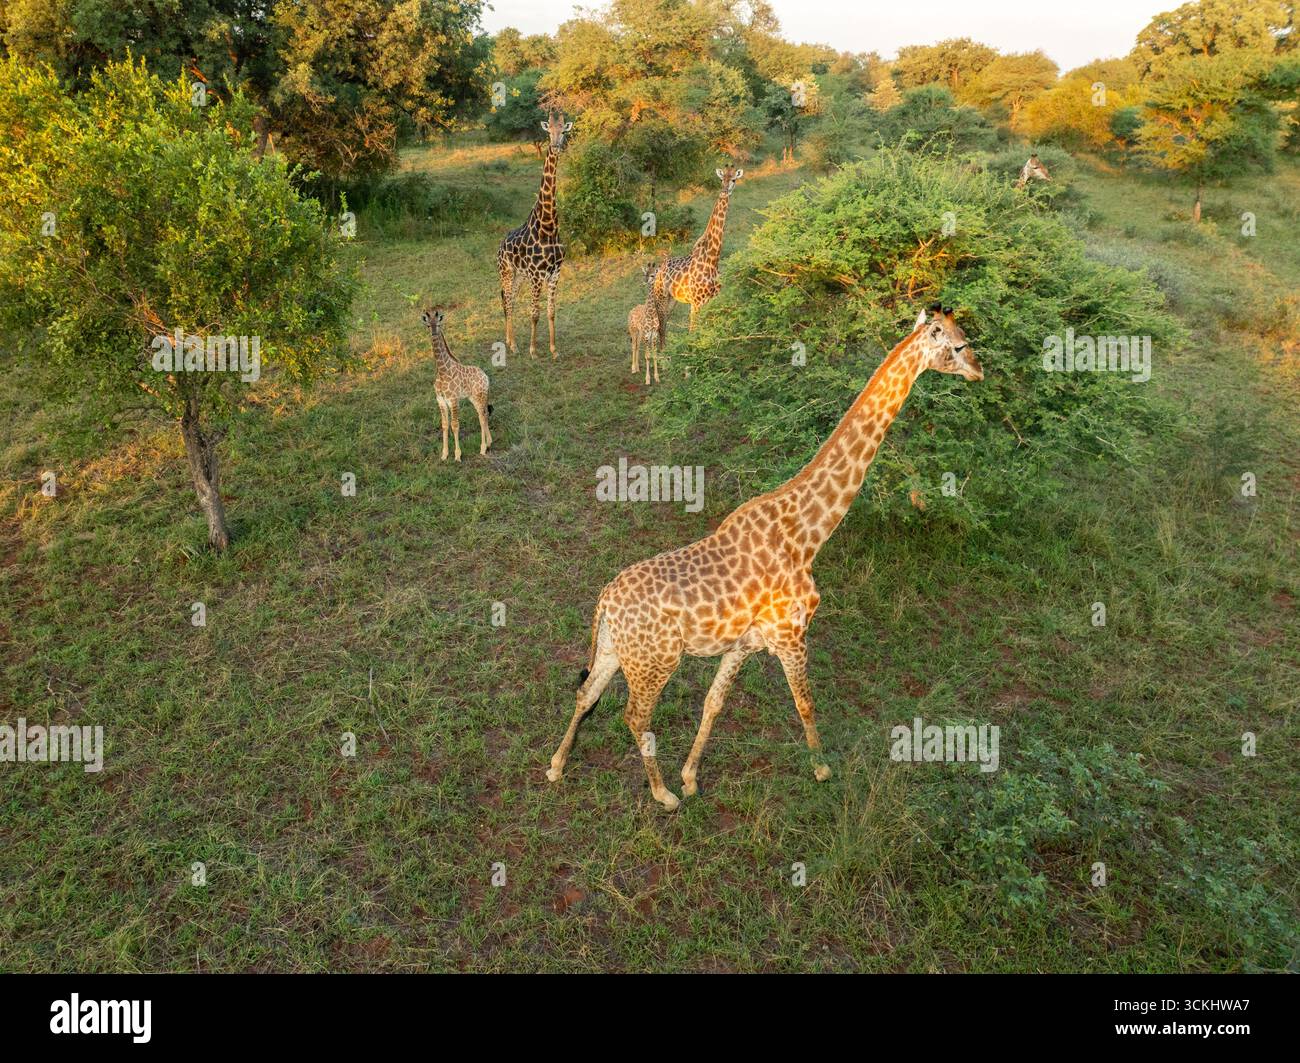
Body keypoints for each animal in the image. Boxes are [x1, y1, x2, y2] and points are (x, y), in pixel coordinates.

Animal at [421, 308, 492, 462]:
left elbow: (455, 425)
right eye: (428, 325)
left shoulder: (453, 400)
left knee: (482, 416)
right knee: (482, 415)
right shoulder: (441, 400)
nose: (434, 333)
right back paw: (489, 442)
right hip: (474, 398)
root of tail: (485, 376)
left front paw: (457, 455)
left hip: (479, 396)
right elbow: (444, 425)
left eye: (439, 324)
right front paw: (444, 454)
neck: (442, 371)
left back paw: (483, 448)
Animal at [497, 111, 571, 358]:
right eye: (549, 131)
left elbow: (550, 311)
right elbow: (534, 312)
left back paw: (510, 341)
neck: (548, 227)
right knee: (507, 301)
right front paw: (533, 350)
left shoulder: (555, 273)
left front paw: (554, 349)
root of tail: (499, 245)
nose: (556, 145)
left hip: (519, 276)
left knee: (510, 300)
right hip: (506, 272)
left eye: (564, 130)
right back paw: (513, 345)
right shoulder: (537, 275)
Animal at [546, 307, 983, 809]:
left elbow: (713, 703)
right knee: (634, 716)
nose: (979, 370)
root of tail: (605, 601)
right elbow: (805, 702)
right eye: (958, 344)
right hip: (656, 662)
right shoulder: (791, 635)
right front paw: (822, 769)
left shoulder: (745, 643)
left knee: (585, 694)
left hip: (616, 651)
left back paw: (557, 766)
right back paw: (661, 794)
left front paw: (691, 777)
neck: (807, 533)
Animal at [650, 165, 743, 346]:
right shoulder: (697, 302)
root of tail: (660, 268)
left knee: (664, 325)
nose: (724, 191)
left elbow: (707, 333)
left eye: (734, 179)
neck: (712, 258)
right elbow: (693, 333)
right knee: (661, 327)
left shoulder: (710, 300)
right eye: (721, 179)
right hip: (661, 296)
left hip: (672, 300)